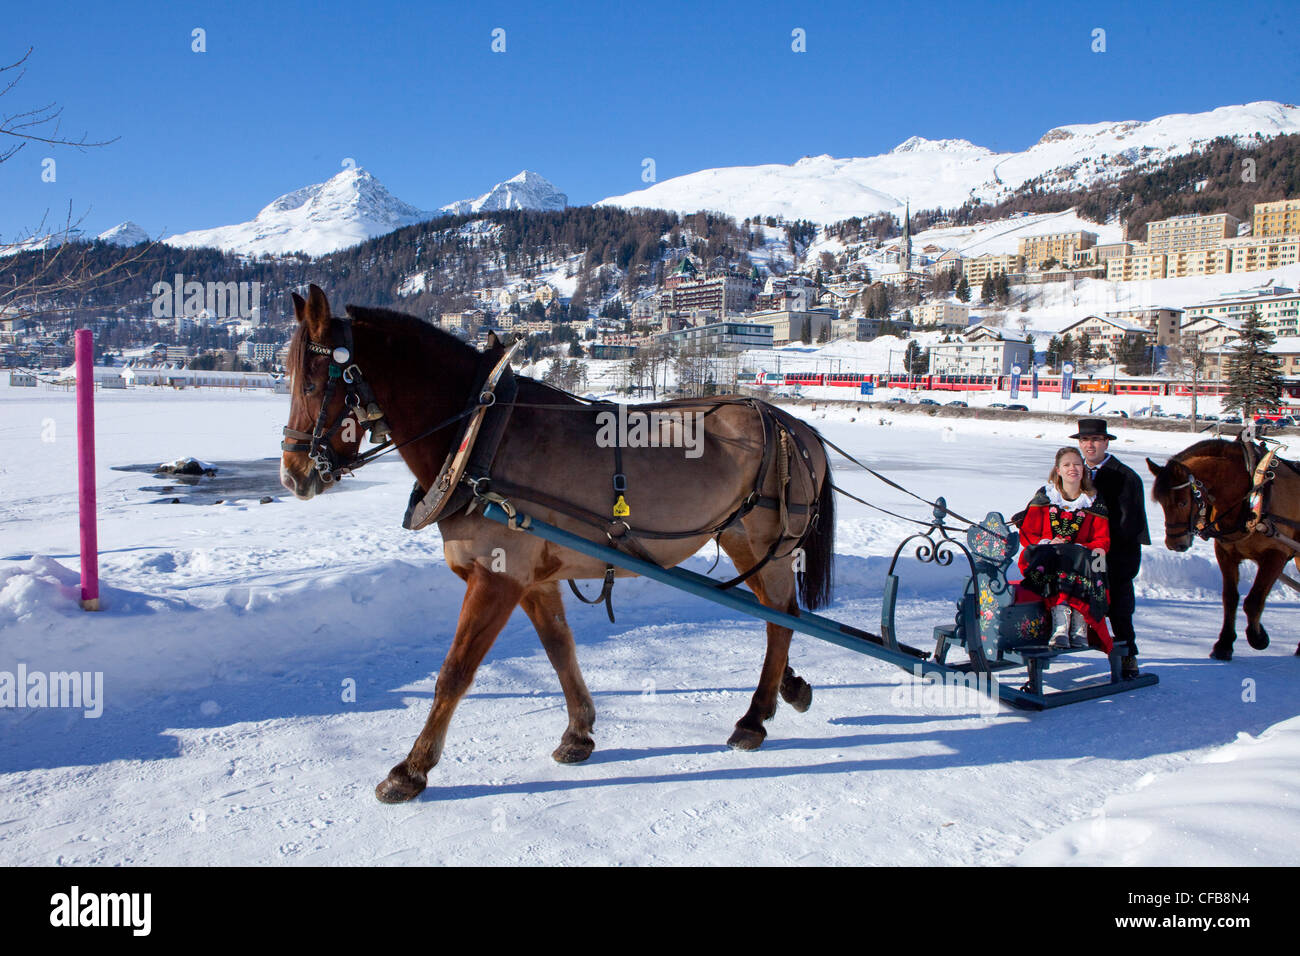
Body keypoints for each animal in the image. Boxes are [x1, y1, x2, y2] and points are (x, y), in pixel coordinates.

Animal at [279, 285, 837, 803]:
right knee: (780, 615)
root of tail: (794, 425)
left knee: (780, 619)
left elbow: (455, 672)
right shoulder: (533, 580)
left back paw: (754, 717)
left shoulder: (497, 577)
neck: (477, 436)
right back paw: (787, 688)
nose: (293, 475)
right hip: (746, 543)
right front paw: (579, 731)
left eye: (312, 381)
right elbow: (559, 649)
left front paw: (411, 770)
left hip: (768, 544)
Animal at [1147, 438, 1300, 660]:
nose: (1175, 543)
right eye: (1161, 503)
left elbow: (1253, 600)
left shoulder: (1276, 554)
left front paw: (1258, 637)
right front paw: (1224, 644)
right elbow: (1230, 598)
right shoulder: (1226, 553)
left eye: (1183, 502)